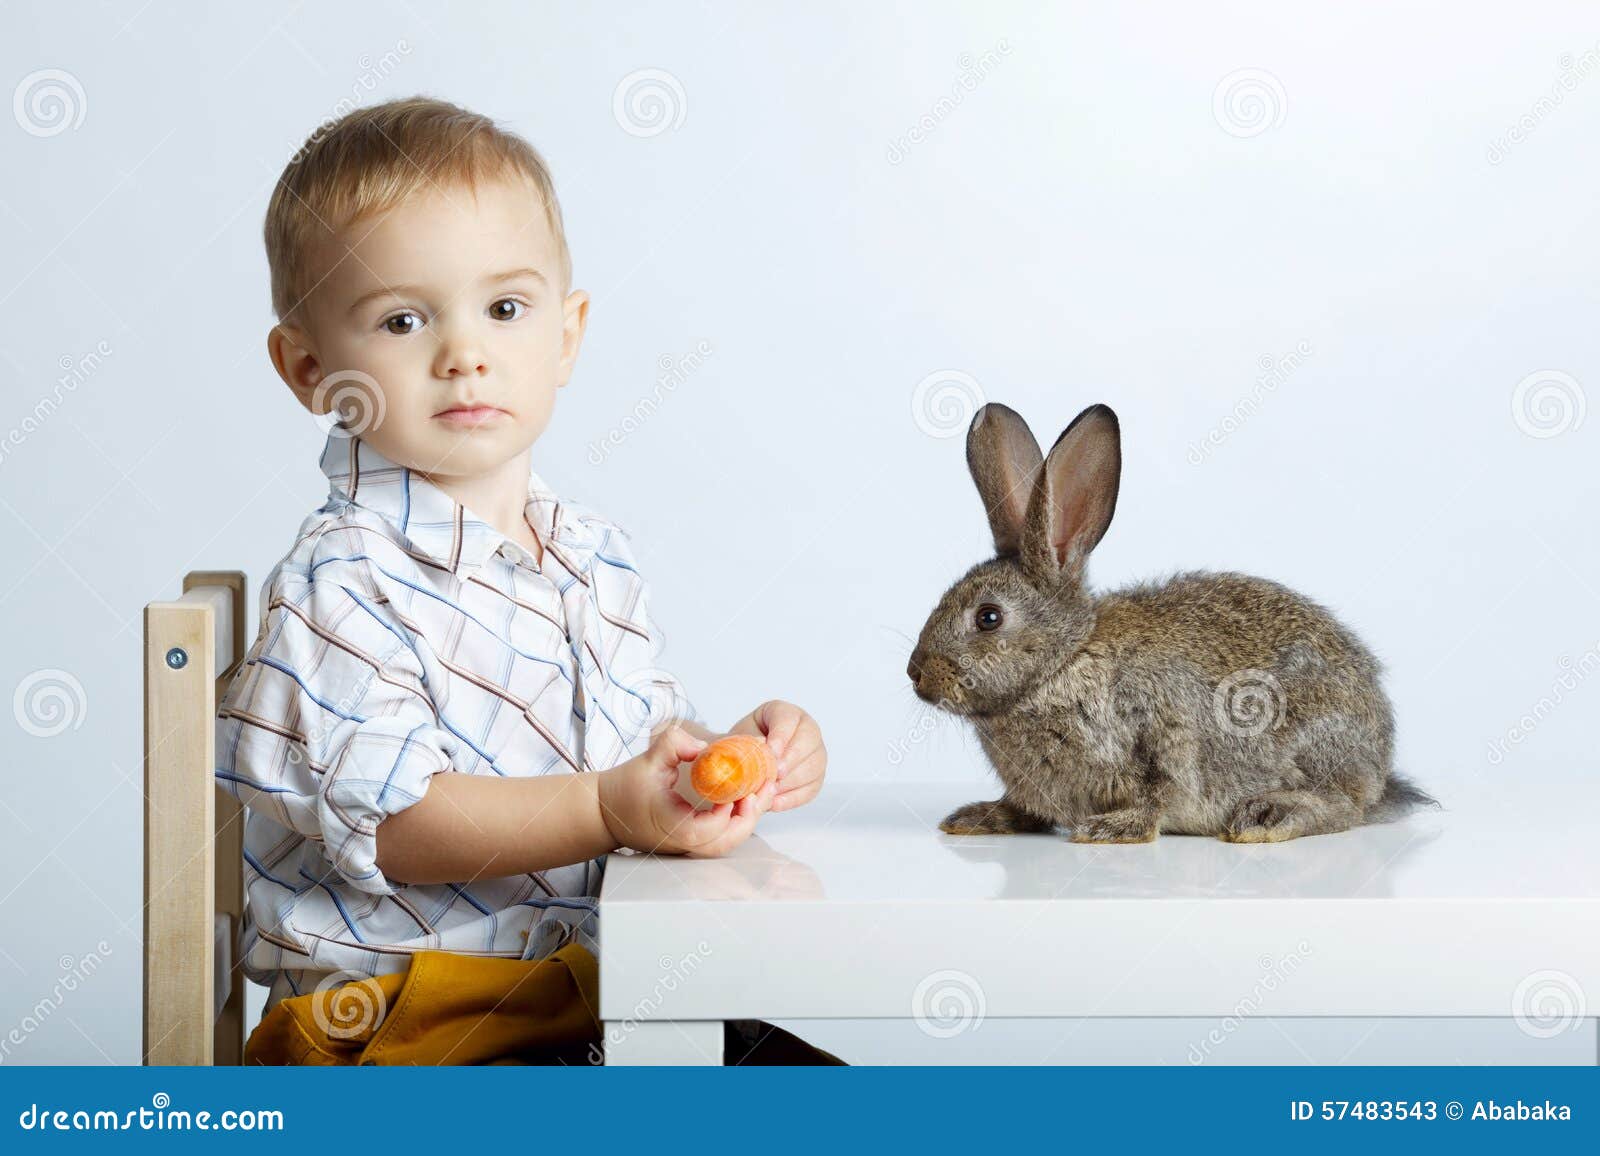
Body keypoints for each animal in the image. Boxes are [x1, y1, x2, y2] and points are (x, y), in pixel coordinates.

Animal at [906, 401, 1438, 845]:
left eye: (989, 618)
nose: (916, 673)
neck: (1064, 662)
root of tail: (1379, 759)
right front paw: (981, 817)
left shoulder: (1167, 733)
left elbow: (1160, 791)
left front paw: (1111, 830)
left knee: (1344, 806)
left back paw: (1266, 818)